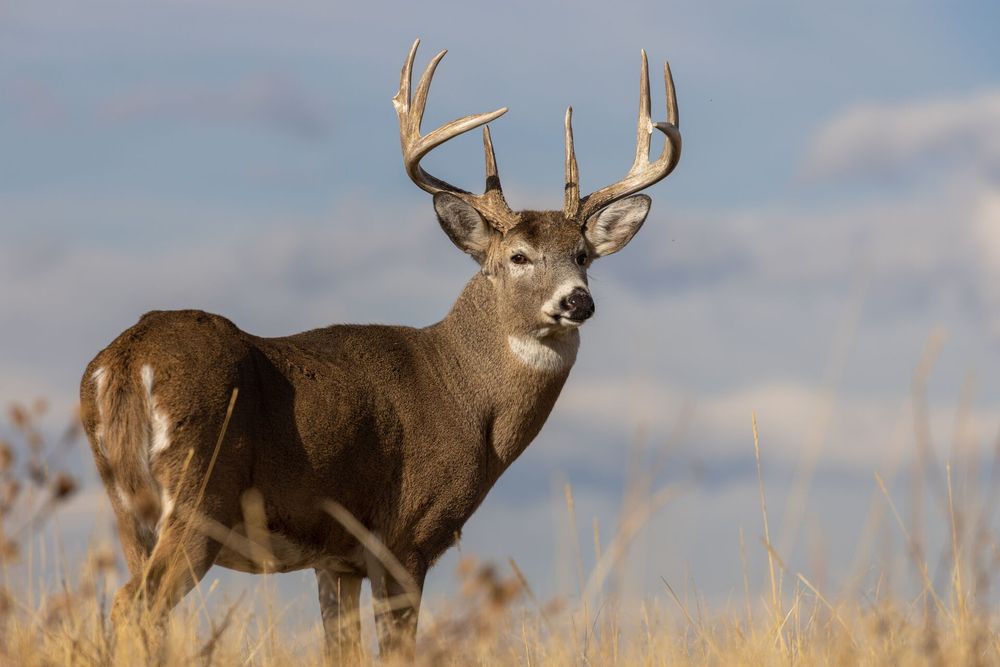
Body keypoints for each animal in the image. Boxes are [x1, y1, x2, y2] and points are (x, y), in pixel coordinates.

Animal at [79, 38, 681, 659]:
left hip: (128, 508)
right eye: (518, 256)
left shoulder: (336, 559)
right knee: (135, 604)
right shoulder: (405, 534)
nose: (578, 300)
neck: (464, 394)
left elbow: (339, 649)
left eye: (583, 255)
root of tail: (125, 360)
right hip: (200, 492)